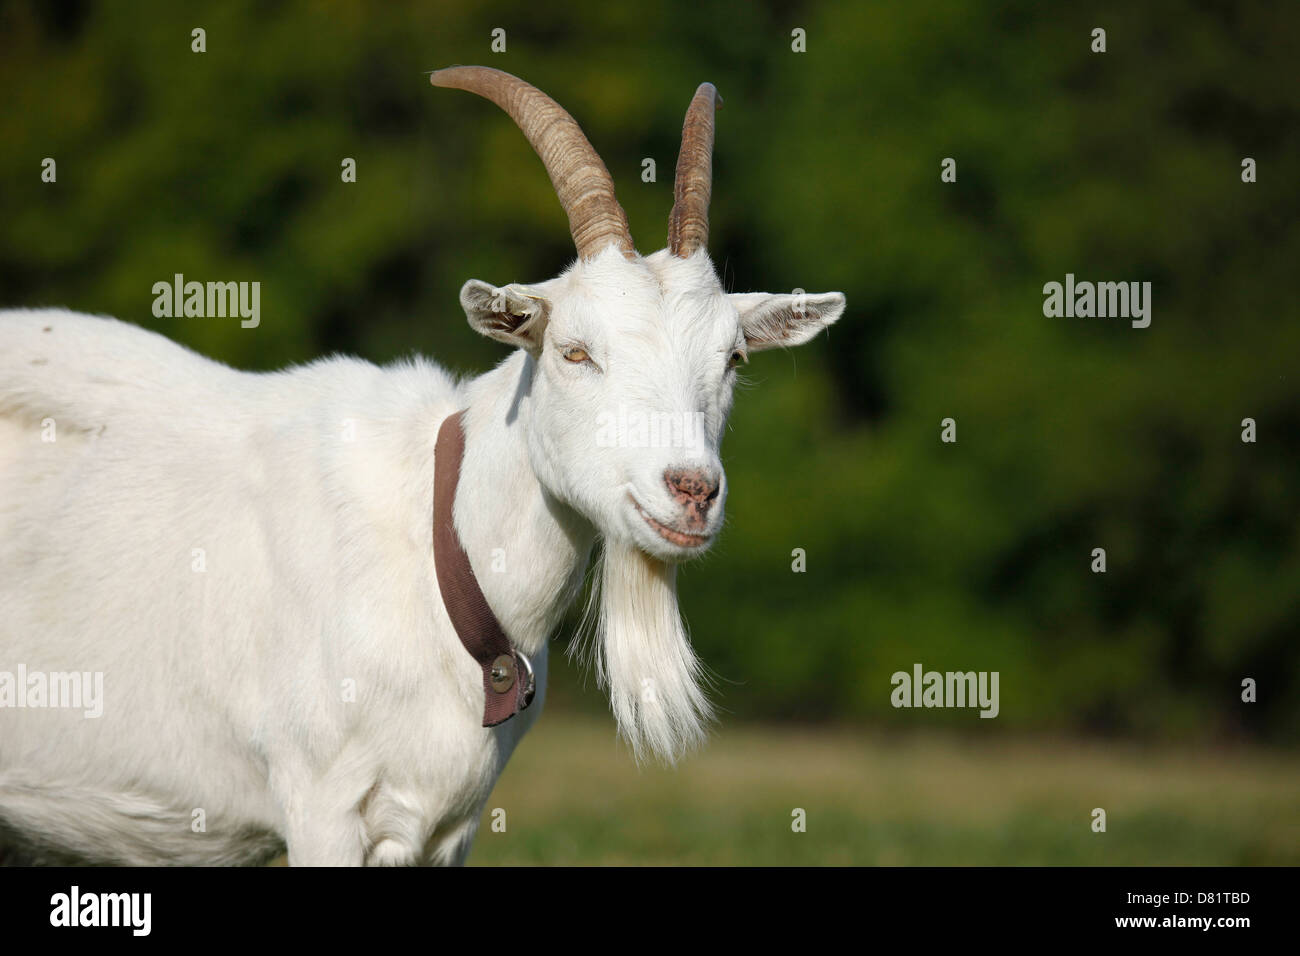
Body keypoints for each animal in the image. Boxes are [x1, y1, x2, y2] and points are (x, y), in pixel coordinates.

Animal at [0, 66, 845, 865]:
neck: (439, 544)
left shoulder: (449, 825)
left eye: (732, 358)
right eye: (574, 351)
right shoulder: (321, 803)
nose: (692, 491)